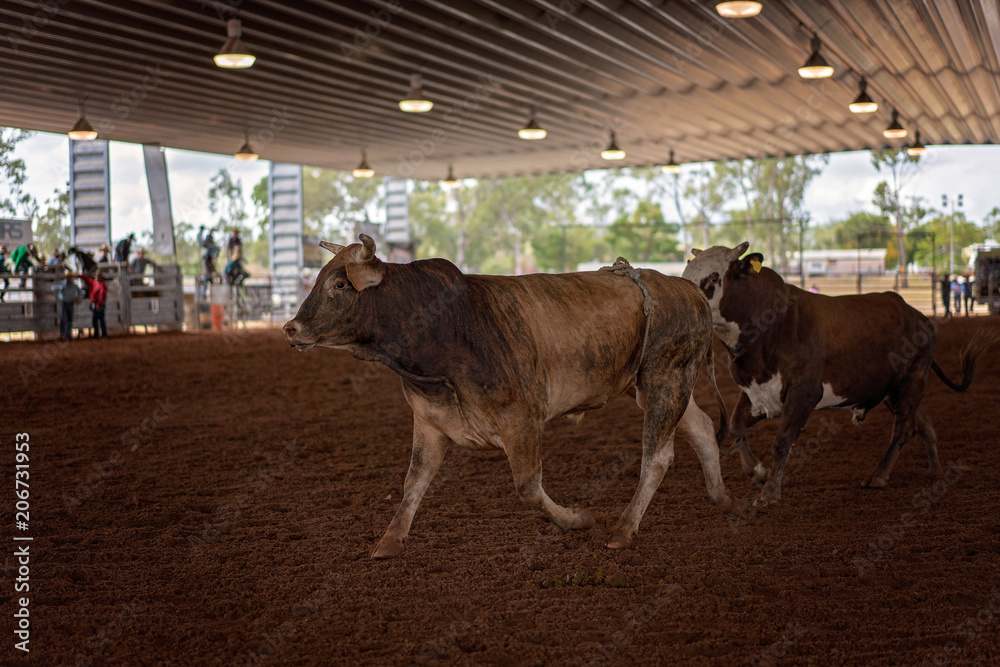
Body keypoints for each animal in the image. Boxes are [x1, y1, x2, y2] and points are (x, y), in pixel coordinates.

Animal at [283, 234, 733, 558]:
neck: (448, 328)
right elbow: (415, 481)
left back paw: (624, 528)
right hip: (659, 384)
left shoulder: (522, 417)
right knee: (702, 427)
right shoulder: (429, 420)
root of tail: (688, 290)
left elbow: (528, 487)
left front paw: (576, 520)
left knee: (657, 456)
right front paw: (390, 540)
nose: (290, 328)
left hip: (665, 380)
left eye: (340, 283)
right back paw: (720, 496)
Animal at [682, 242, 998, 508]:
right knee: (922, 423)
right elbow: (736, 428)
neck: (769, 325)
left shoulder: (804, 392)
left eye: (714, 278)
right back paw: (934, 470)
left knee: (903, 430)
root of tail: (919, 316)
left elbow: (782, 442)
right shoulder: (756, 393)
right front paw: (758, 472)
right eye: (686, 275)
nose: (691, 306)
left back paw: (879, 475)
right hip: (892, 391)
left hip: (912, 381)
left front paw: (769, 492)